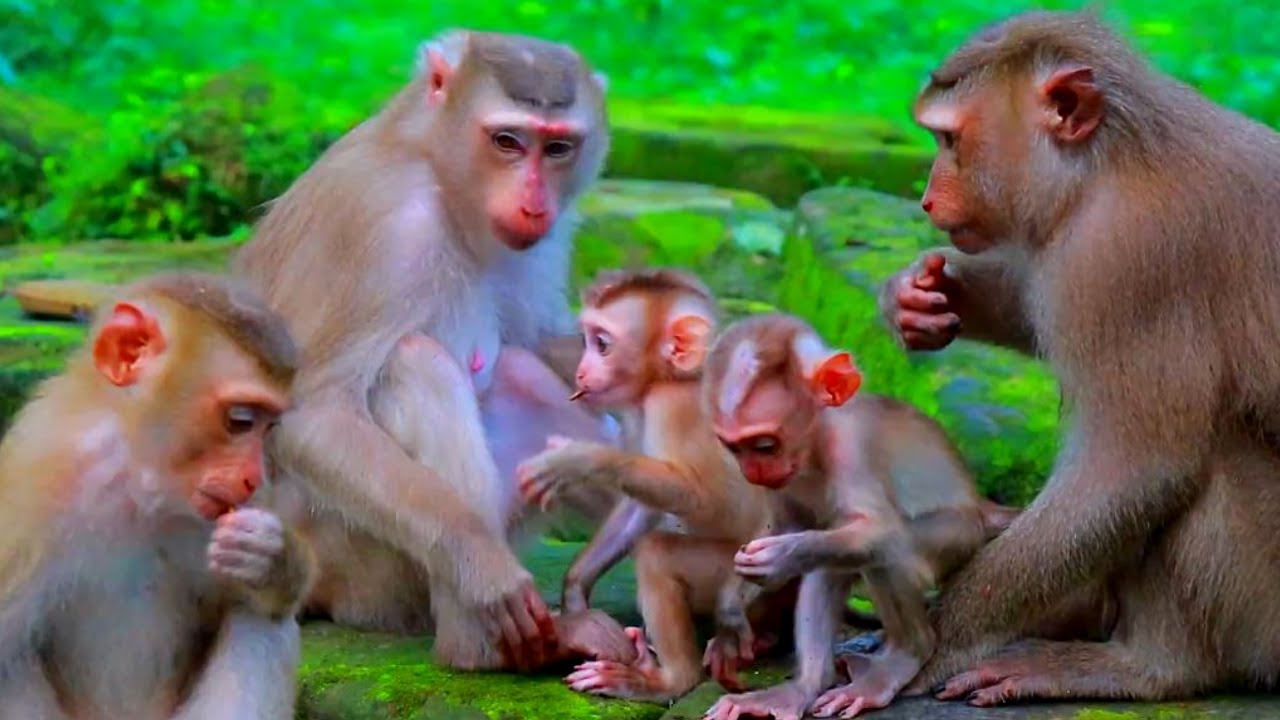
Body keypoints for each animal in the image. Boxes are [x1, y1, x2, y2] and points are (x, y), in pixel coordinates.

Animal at [0, 271, 314, 720]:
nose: (253, 478)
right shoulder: (32, 488)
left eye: (268, 428)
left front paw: (270, 556)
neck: (135, 481)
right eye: (240, 420)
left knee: (260, 621)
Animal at [230, 29, 632, 672]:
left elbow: (540, 341)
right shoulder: (384, 223)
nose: (534, 203)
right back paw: (481, 646)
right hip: (362, 565)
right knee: (414, 363)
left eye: (558, 147)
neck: (438, 172)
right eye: (506, 141)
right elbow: (316, 414)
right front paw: (482, 566)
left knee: (518, 369)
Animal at [516, 268, 794, 702]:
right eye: (586, 339)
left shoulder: (674, 408)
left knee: (658, 552)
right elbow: (640, 507)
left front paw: (578, 460)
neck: (667, 378)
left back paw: (667, 680)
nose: (580, 372)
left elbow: (709, 500)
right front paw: (575, 598)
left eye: (602, 344)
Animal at [697, 313, 1019, 720]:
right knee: (833, 564)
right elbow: (785, 526)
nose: (753, 472)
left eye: (765, 445)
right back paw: (802, 689)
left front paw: (780, 557)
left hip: (958, 535)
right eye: (733, 448)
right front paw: (730, 610)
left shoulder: (849, 447)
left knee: (886, 550)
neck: (815, 446)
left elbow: (879, 532)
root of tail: (981, 506)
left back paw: (904, 656)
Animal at [876, 9, 1280, 707]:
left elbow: (1132, 472)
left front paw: (933, 643)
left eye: (949, 140)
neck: (1107, 164)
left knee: (1208, 449)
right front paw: (920, 298)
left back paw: (1152, 667)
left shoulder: (1126, 257)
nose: (926, 199)